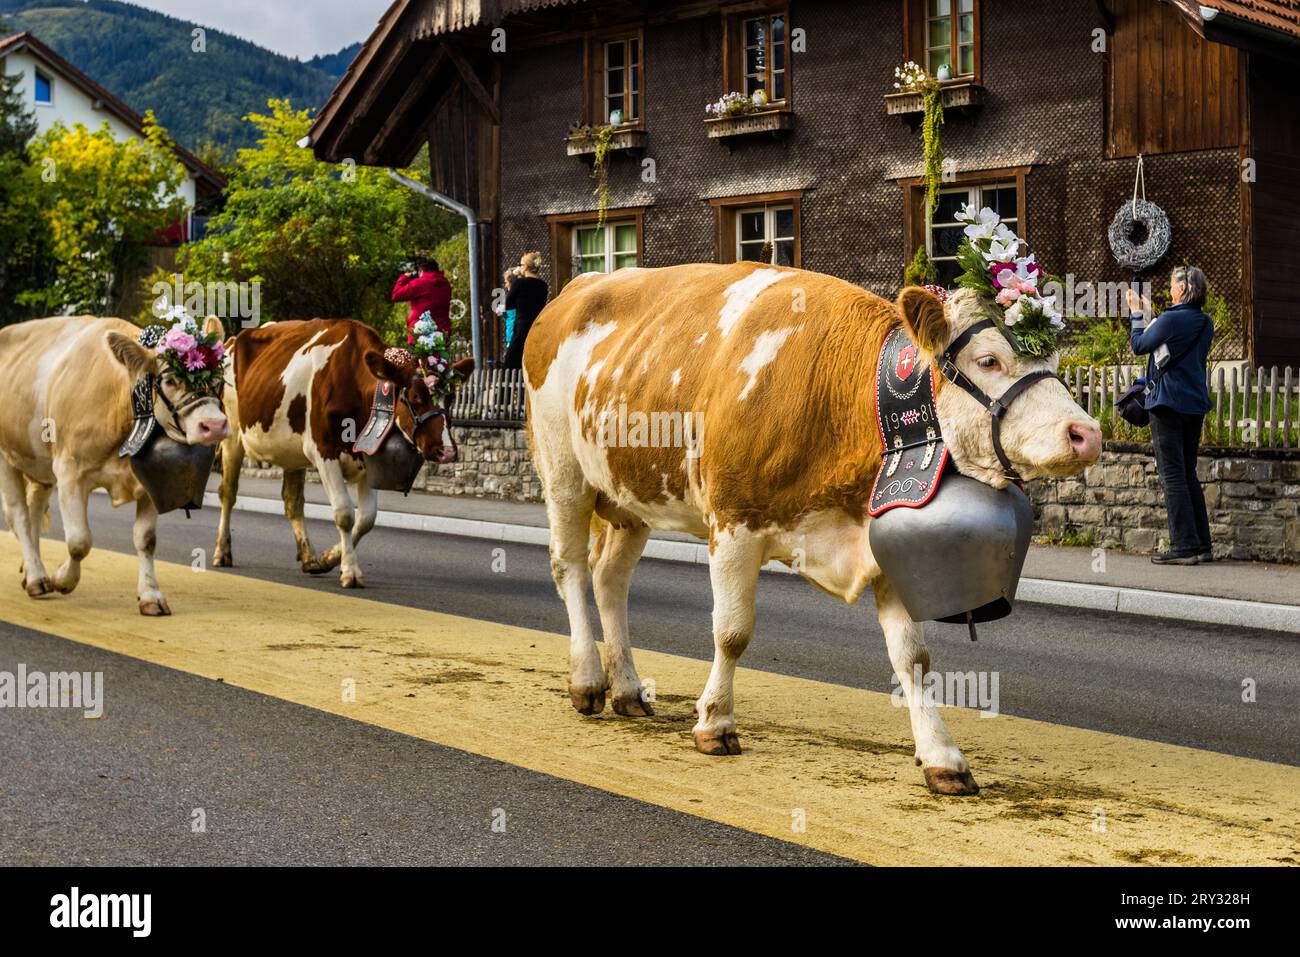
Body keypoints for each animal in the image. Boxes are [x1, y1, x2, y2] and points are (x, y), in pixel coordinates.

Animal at [0, 316, 229, 616]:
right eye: (169, 380)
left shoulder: (150, 482)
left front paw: (151, 596)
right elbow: (79, 542)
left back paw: (31, 570)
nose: (214, 425)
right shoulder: (69, 471)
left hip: (39, 464)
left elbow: (146, 540)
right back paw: (38, 578)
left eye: (219, 379)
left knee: (35, 510)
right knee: (19, 514)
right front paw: (62, 579)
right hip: (6, 458)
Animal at [213, 319, 470, 588]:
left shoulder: (368, 455)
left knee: (292, 501)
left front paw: (329, 558)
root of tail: (236, 337)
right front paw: (350, 571)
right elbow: (344, 513)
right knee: (228, 493)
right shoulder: (322, 451)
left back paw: (309, 557)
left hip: (291, 451)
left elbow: (366, 519)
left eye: (451, 396)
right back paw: (222, 551)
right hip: (232, 435)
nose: (447, 451)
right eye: (416, 396)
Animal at [524, 263, 1103, 795]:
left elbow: (913, 657)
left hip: (628, 497)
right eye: (988, 360)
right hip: (563, 472)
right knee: (569, 568)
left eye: (1053, 361)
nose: (1088, 433)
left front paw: (942, 756)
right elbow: (731, 632)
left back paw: (626, 689)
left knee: (610, 579)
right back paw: (587, 680)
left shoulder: (884, 538)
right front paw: (715, 723)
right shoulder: (733, 524)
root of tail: (580, 285)